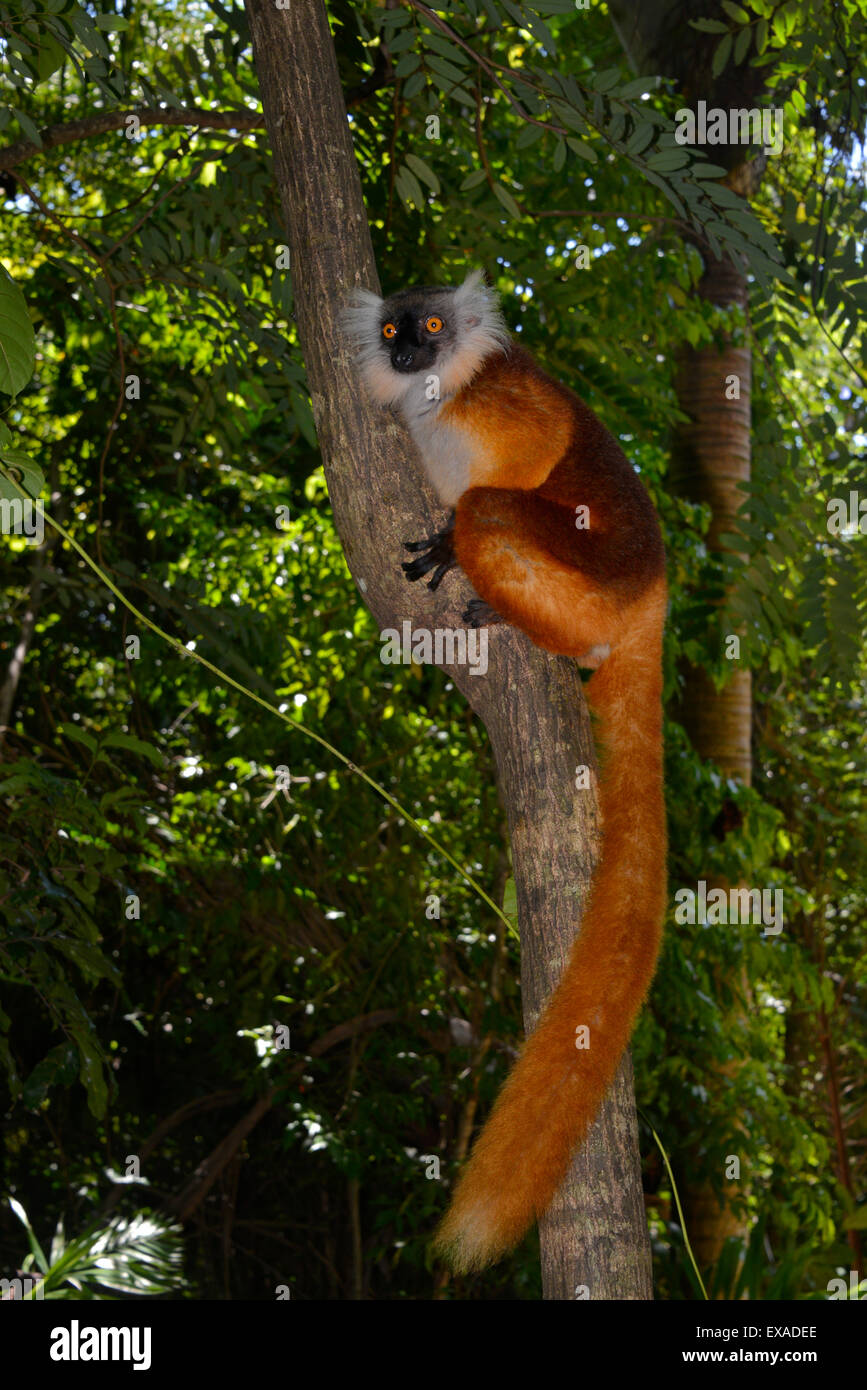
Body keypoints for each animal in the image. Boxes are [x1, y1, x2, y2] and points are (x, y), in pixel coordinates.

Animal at [344, 269, 667, 1272]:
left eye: (431, 325)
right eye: (394, 330)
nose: (412, 349)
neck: (428, 397)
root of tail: (652, 600)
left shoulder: (496, 400)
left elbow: (529, 455)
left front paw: (448, 540)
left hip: (587, 575)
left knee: (492, 507)